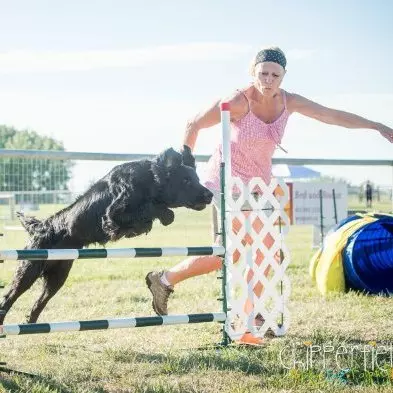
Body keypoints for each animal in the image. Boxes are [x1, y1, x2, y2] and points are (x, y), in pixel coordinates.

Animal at [0, 145, 213, 324]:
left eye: (197, 179)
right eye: (186, 180)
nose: (210, 194)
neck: (149, 179)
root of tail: (40, 227)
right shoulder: (112, 215)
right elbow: (152, 209)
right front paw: (156, 216)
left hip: (58, 276)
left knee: (39, 302)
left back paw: (31, 324)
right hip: (29, 269)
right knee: (9, 297)